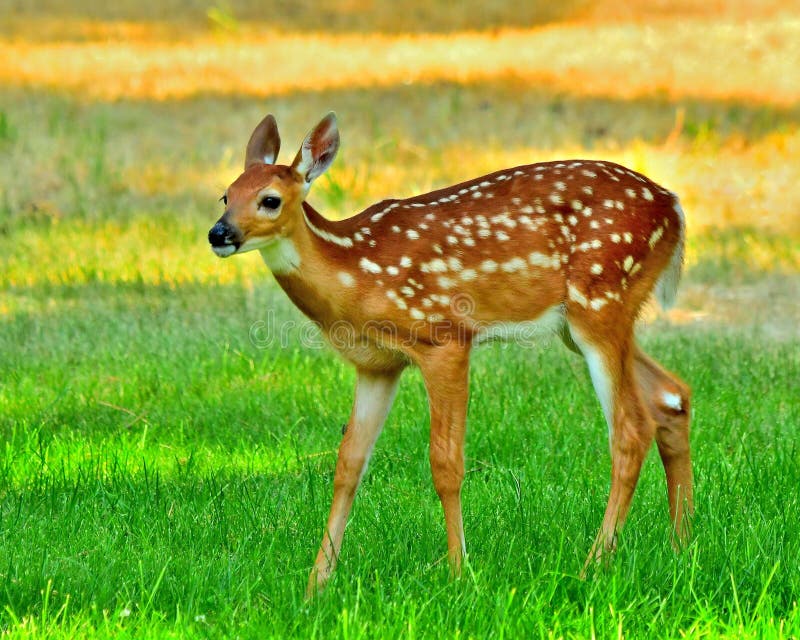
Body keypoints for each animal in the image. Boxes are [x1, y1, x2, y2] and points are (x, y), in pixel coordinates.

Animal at [208, 112, 693, 597]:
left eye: (270, 200)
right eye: (227, 195)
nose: (219, 233)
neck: (356, 273)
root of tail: (674, 206)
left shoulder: (445, 338)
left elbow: (446, 463)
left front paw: (459, 573)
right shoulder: (377, 365)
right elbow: (349, 463)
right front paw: (316, 584)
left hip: (600, 298)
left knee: (630, 427)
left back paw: (594, 564)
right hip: (580, 324)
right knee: (671, 396)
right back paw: (680, 544)